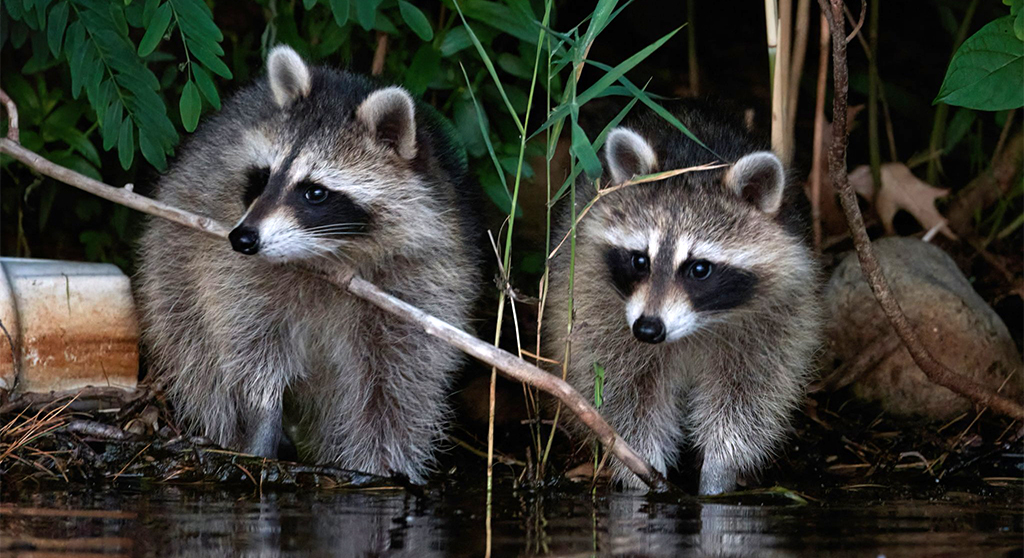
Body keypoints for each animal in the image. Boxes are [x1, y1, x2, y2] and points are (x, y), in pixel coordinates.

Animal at [135, 46, 481, 483]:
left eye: (315, 192)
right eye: (263, 176)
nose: (243, 238)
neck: (329, 253)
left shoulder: (419, 282)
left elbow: (396, 388)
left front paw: (382, 466)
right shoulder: (240, 275)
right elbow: (249, 349)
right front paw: (261, 422)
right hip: (172, 260)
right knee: (195, 349)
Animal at [544, 104, 820, 495]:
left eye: (699, 269)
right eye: (639, 260)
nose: (648, 329)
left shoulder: (775, 316)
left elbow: (748, 398)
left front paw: (719, 473)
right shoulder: (598, 304)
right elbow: (624, 397)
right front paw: (643, 473)